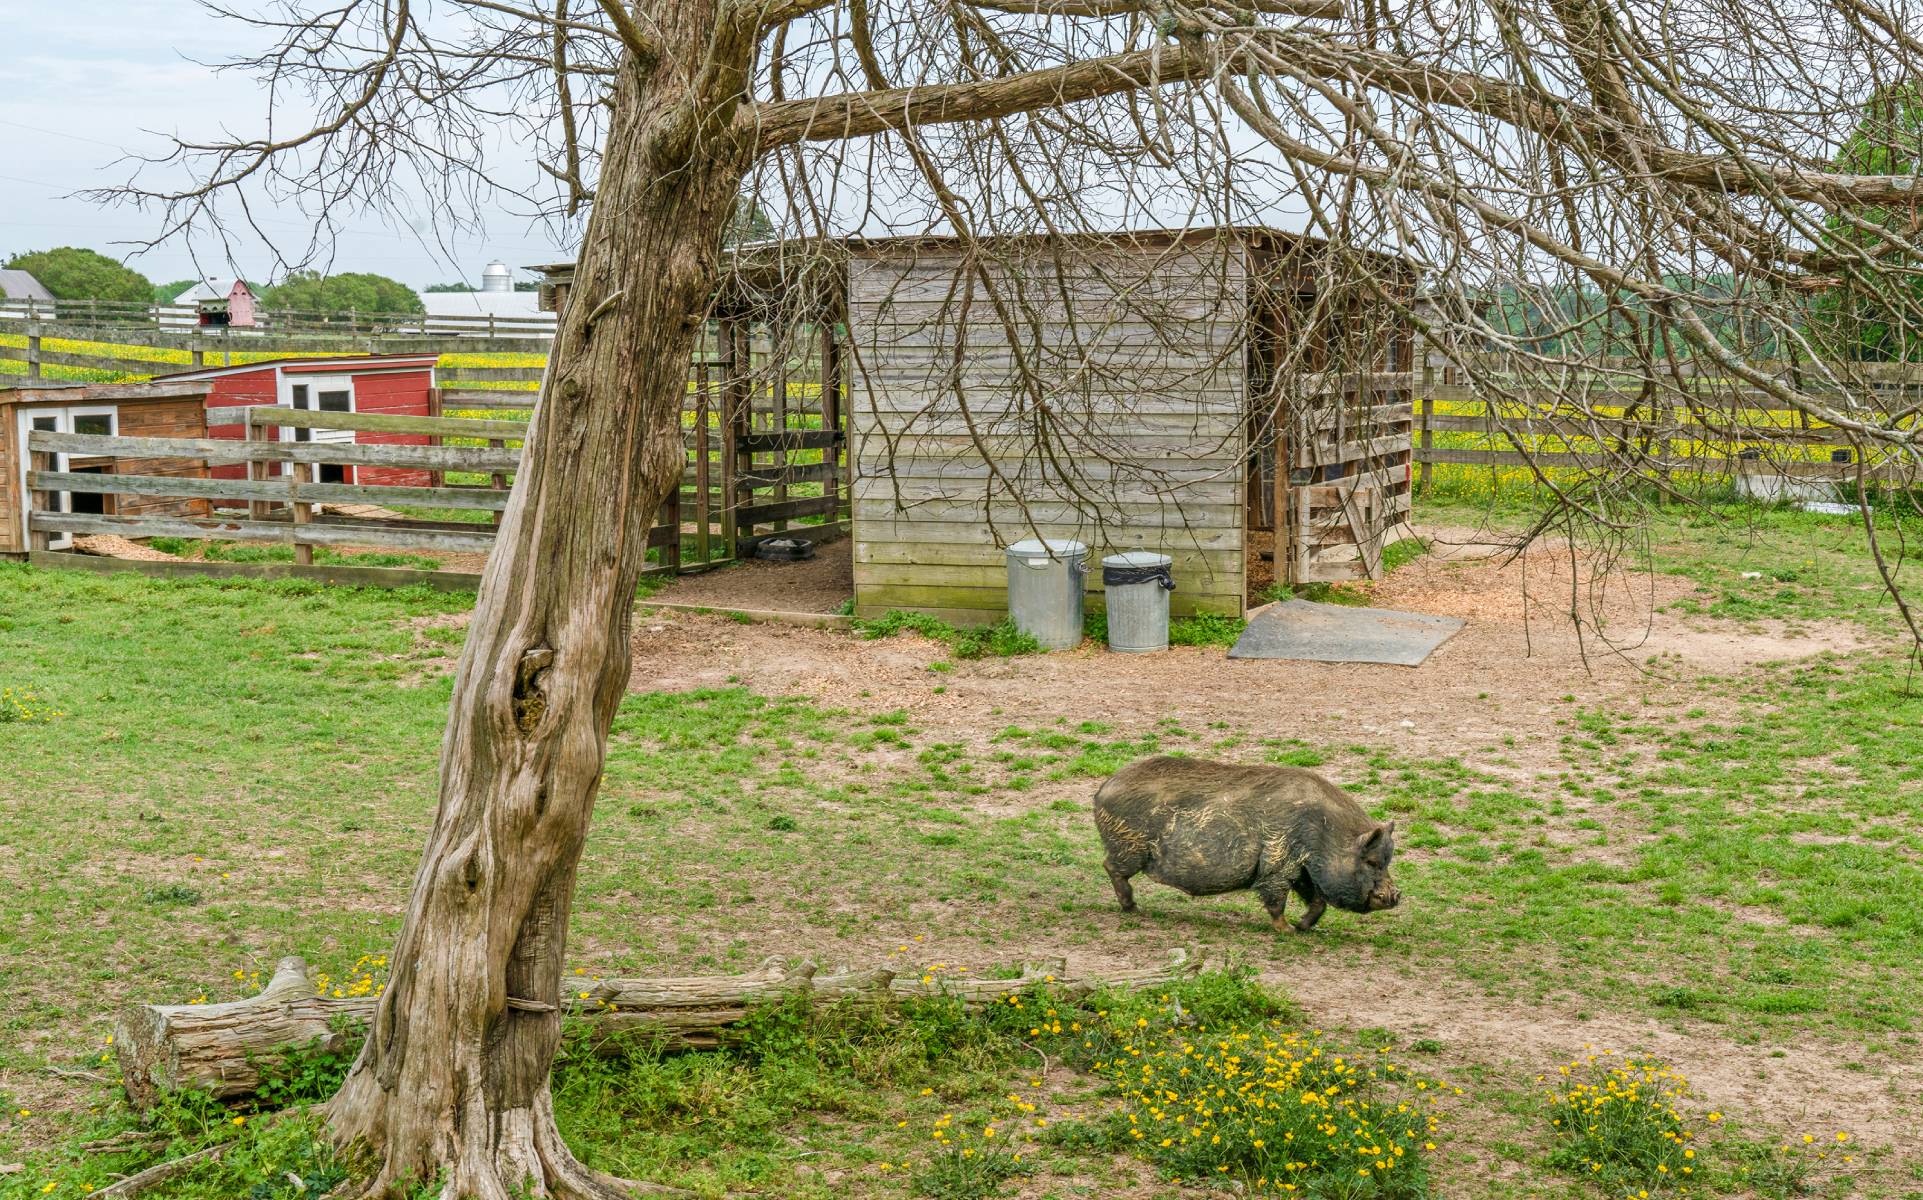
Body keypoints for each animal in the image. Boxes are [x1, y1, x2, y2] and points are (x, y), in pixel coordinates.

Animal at [1093, 756, 1400, 932]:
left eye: (1387, 860)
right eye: (1371, 861)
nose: (1396, 895)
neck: (1326, 836)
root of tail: (1102, 789)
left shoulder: (1301, 870)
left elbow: (1317, 902)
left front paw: (1302, 928)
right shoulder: (1277, 868)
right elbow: (1276, 901)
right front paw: (1287, 931)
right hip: (1129, 847)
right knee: (1110, 867)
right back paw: (1133, 908)